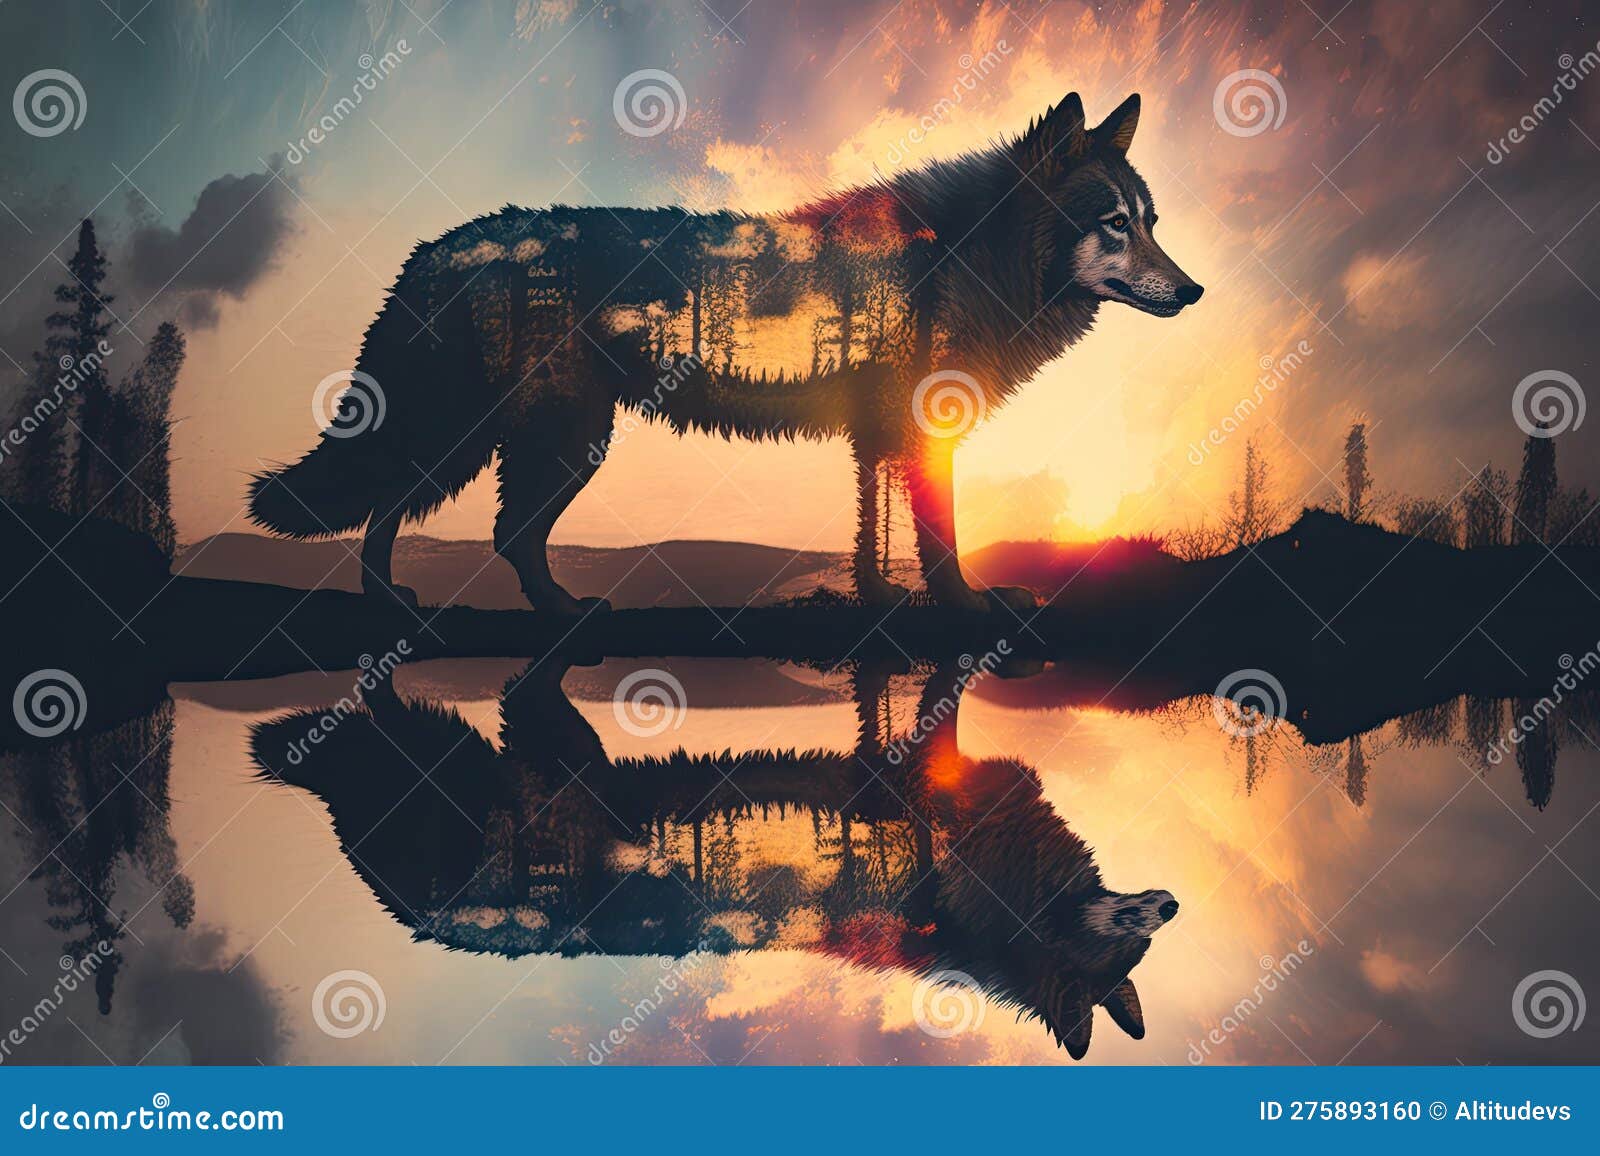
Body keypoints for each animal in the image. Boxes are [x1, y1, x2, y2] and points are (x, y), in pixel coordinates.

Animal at [248, 92, 1201, 614]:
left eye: (1153, 221)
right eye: (1115, 224)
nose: (1194, 293)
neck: (967, 255)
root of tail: (441, 244)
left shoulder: (877, 436)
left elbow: (873, 534)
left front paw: (879, 600)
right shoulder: (923, 434)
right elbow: (941, 539)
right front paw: (966, 608)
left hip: (513, 435)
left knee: (422, 512)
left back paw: (401, 601)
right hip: (549, 437)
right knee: (492, 528)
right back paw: (550, 614)